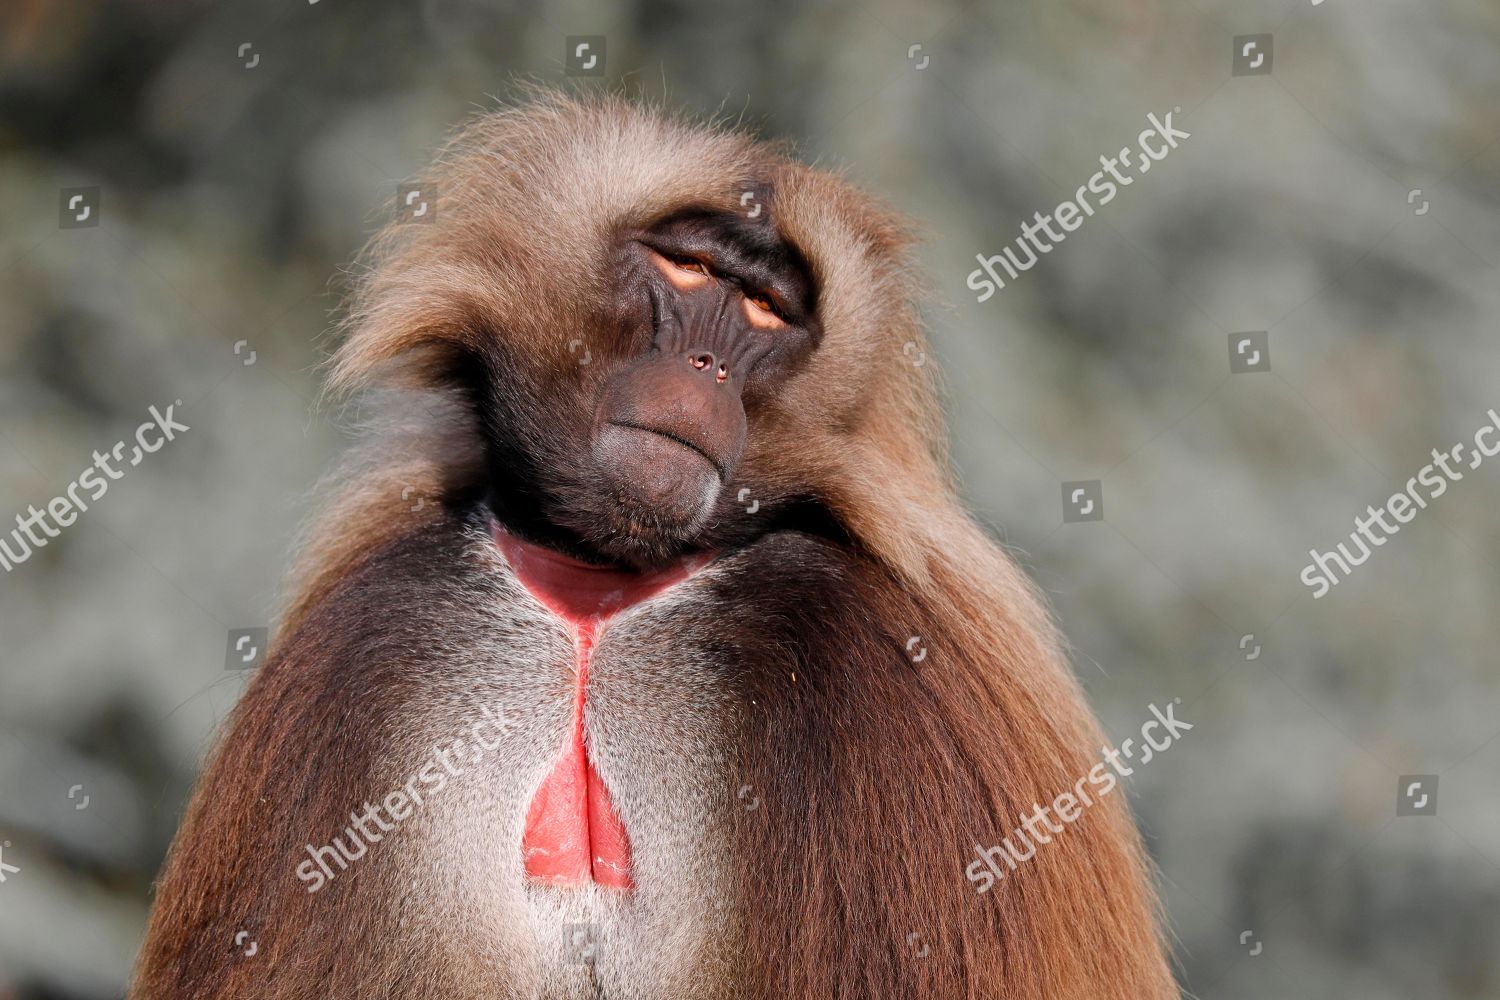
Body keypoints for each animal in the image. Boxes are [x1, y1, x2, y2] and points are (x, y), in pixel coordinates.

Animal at [132, 91, 1176, 1000]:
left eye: (765, 311)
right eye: (687, 272)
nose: (702, 366)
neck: (601, 588)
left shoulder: (893, 678)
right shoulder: (379, 631)